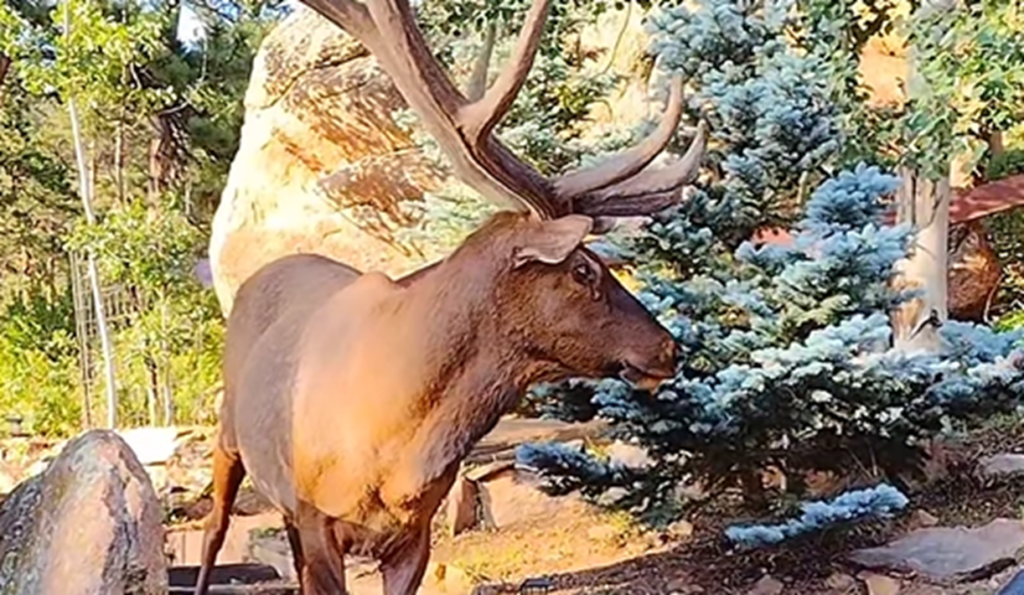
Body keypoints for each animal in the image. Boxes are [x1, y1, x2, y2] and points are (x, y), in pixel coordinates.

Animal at [194, 0, 707, 593]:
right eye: (583, 270)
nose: (669, 348)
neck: (398, 444)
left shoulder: (414, 536)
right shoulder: (317, 518)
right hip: (230, 432)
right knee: (214, 529)